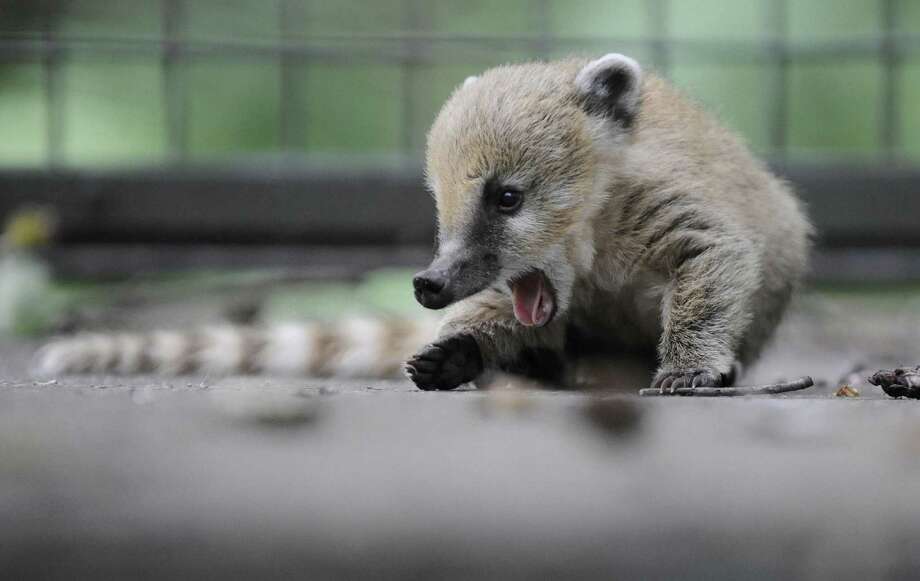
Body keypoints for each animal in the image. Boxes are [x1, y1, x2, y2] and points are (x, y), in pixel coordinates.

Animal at [404, 53, 811, 393]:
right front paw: (462, 347)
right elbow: (495, 304)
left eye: (507, 198)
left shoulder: (658, 198)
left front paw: (689, 367)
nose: (428, 284)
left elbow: (714, 252)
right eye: (441, 202)